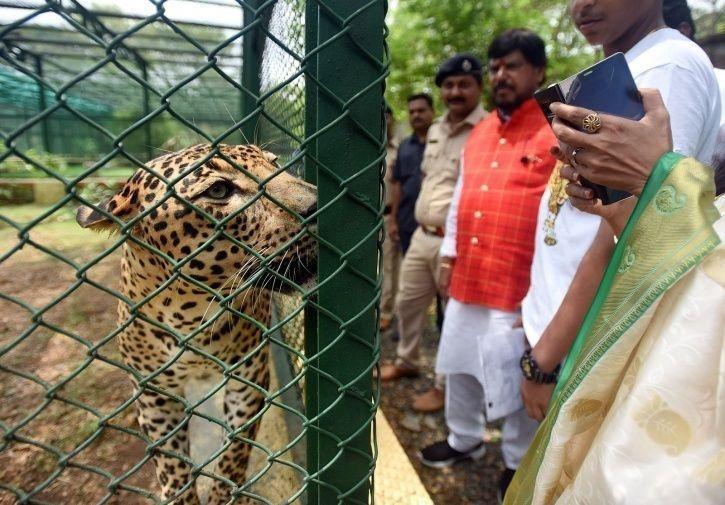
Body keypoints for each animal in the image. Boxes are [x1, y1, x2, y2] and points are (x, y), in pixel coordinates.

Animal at [77, 143, 316, 504]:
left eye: (275, 164)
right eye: (219, 190)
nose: (319, 205)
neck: (192, 313)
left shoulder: (248, 375)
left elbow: (235, 449)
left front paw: (223, 494)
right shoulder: (154, 393)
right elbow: (172, 463)